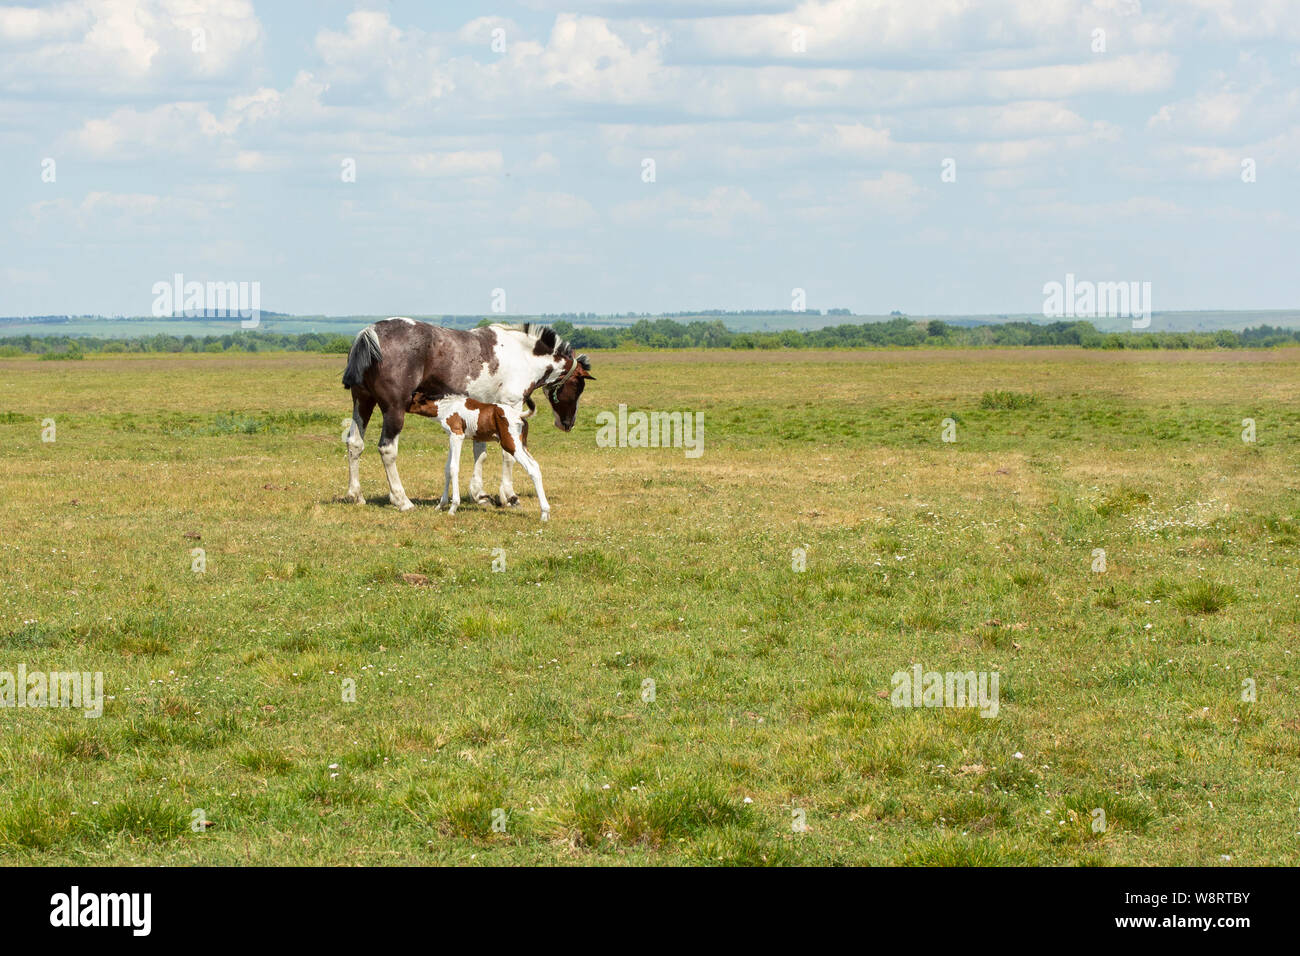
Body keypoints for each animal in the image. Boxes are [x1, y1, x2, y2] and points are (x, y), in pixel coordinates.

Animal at [340, 319, 594, 520]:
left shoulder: (482, 411)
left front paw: (480, 495)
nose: (567, 423)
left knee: (355, 443)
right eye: (578, 385)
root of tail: (370, 332)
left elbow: (480, 453)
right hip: (394, 410)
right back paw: (402, 500)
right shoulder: (510, 407)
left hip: (362, 402)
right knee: (387, 449)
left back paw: (355, 495)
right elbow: (507, 457)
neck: (521, 355)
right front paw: (509, 496)